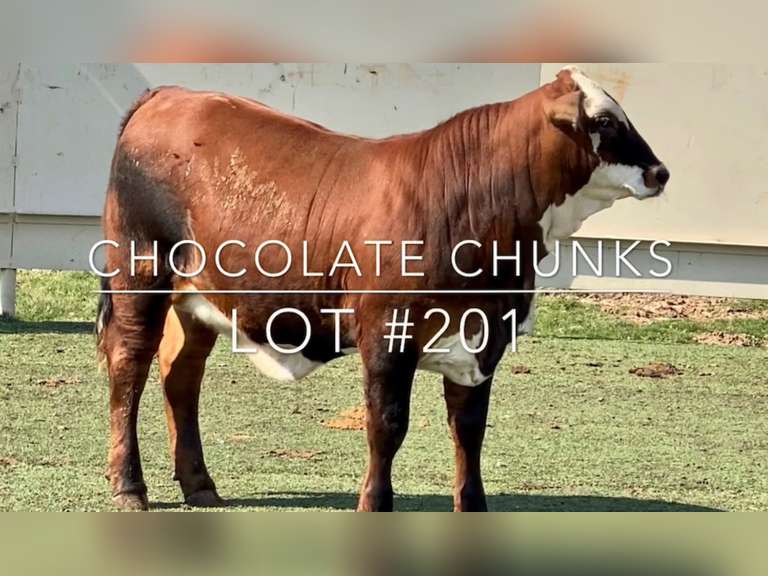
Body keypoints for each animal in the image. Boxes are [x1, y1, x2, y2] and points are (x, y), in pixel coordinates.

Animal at [96, 67, 668, 511]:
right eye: (604, 121)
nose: (660, 172)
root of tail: (170, 94)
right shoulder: (386, 337)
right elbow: (387, 425)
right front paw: (374, 503)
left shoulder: (482, 341)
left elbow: (469, 431)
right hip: (140, 271)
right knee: (129, 367)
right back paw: (129, 485)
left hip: (197, 299)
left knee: (181, 377)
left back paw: (199, 484)